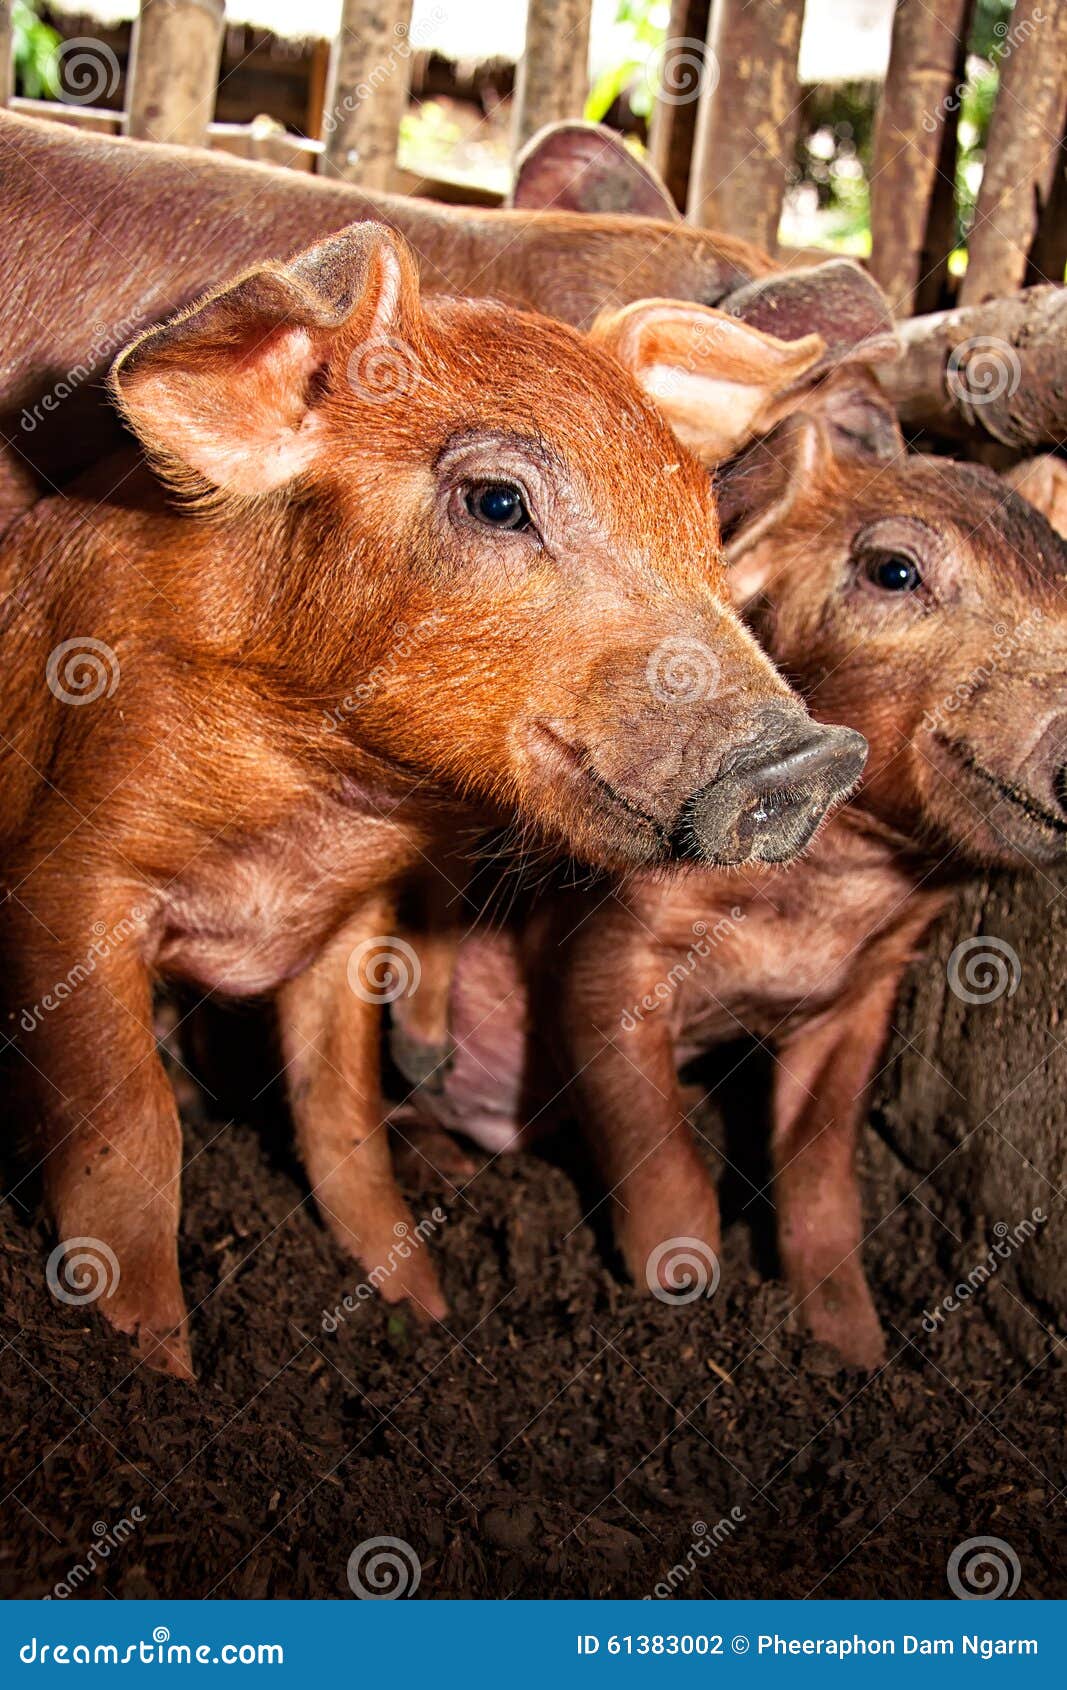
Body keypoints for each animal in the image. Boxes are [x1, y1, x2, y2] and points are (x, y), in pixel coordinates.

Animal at [0, 221, 865, 1378]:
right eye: (496, 502)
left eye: (700, 519)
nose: (810, 757)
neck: (320, 809)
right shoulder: (66, 881)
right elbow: (128, 1130)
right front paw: (157, 1364)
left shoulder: (347, 925)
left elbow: (342, 1123)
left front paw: (423, 1310)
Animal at [392, 374, 1067, 1370]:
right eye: (893, 572)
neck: (825, 897)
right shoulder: (611, 948)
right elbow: (663, 1163)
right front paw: (677, 1301)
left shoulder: (863, 998)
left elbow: (821, 1175)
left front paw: (855, 1353)